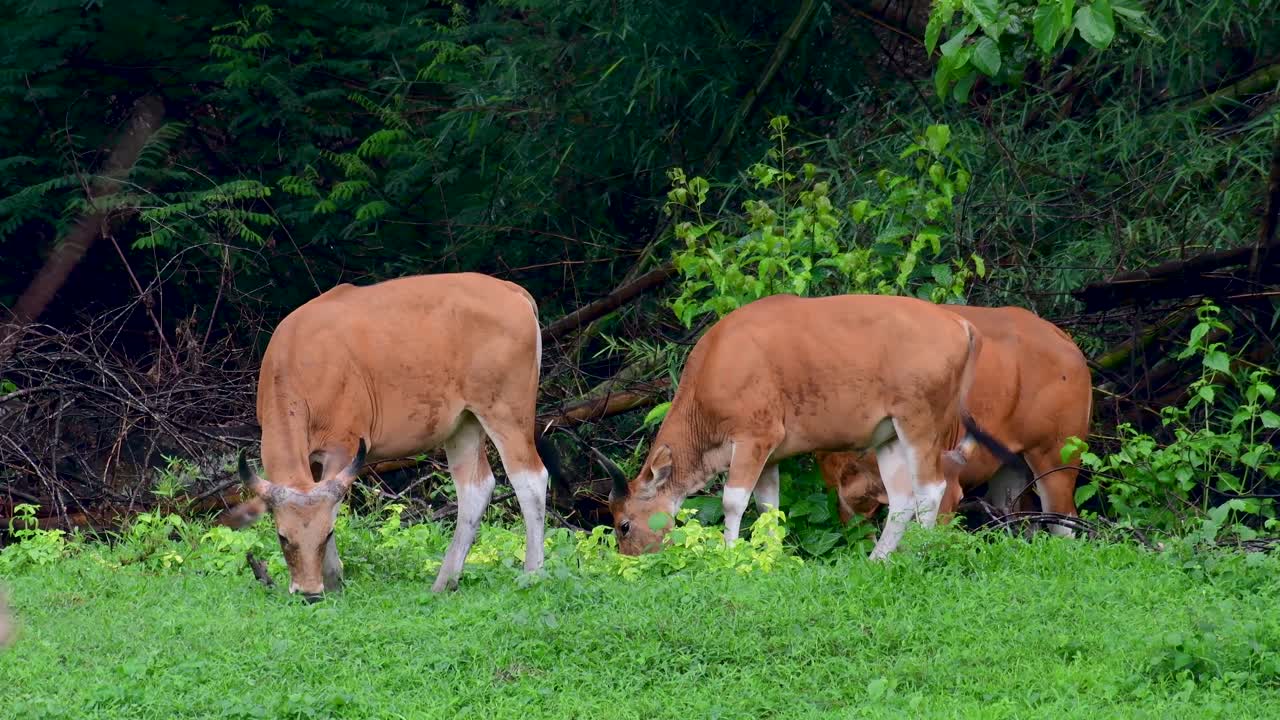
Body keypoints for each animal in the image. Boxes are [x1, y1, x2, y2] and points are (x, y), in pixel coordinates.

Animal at [224, 273, 556, 598]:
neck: (303, 362)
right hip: (465, 423)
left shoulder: (343, 447)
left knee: (530, 480)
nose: (309, 593)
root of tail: (512, 290)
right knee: (475, 489)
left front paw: (333, 578)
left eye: (327, 535)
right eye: (283, 537)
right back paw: (445, 581)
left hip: (507, 412)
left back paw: (533, 573)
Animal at [595, 293, 1020, 559]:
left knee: (931, 490)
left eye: (624, 525)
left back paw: (920, 553)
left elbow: (733, 500)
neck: (714, 369)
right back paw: (878, 559)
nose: (630, 562)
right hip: (888, 435)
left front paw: (730, 556)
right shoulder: (768, 455)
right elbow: (768, 507)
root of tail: (961, 323)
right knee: (901, 499)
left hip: (920, 422)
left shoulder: (754, 437)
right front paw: (771, 557)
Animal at [814, 304, 1092, 535]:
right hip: (1010, 470)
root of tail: (1062, 336)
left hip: (1056, 461)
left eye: (957, 498)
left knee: (1064, 527)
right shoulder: (845, 501)